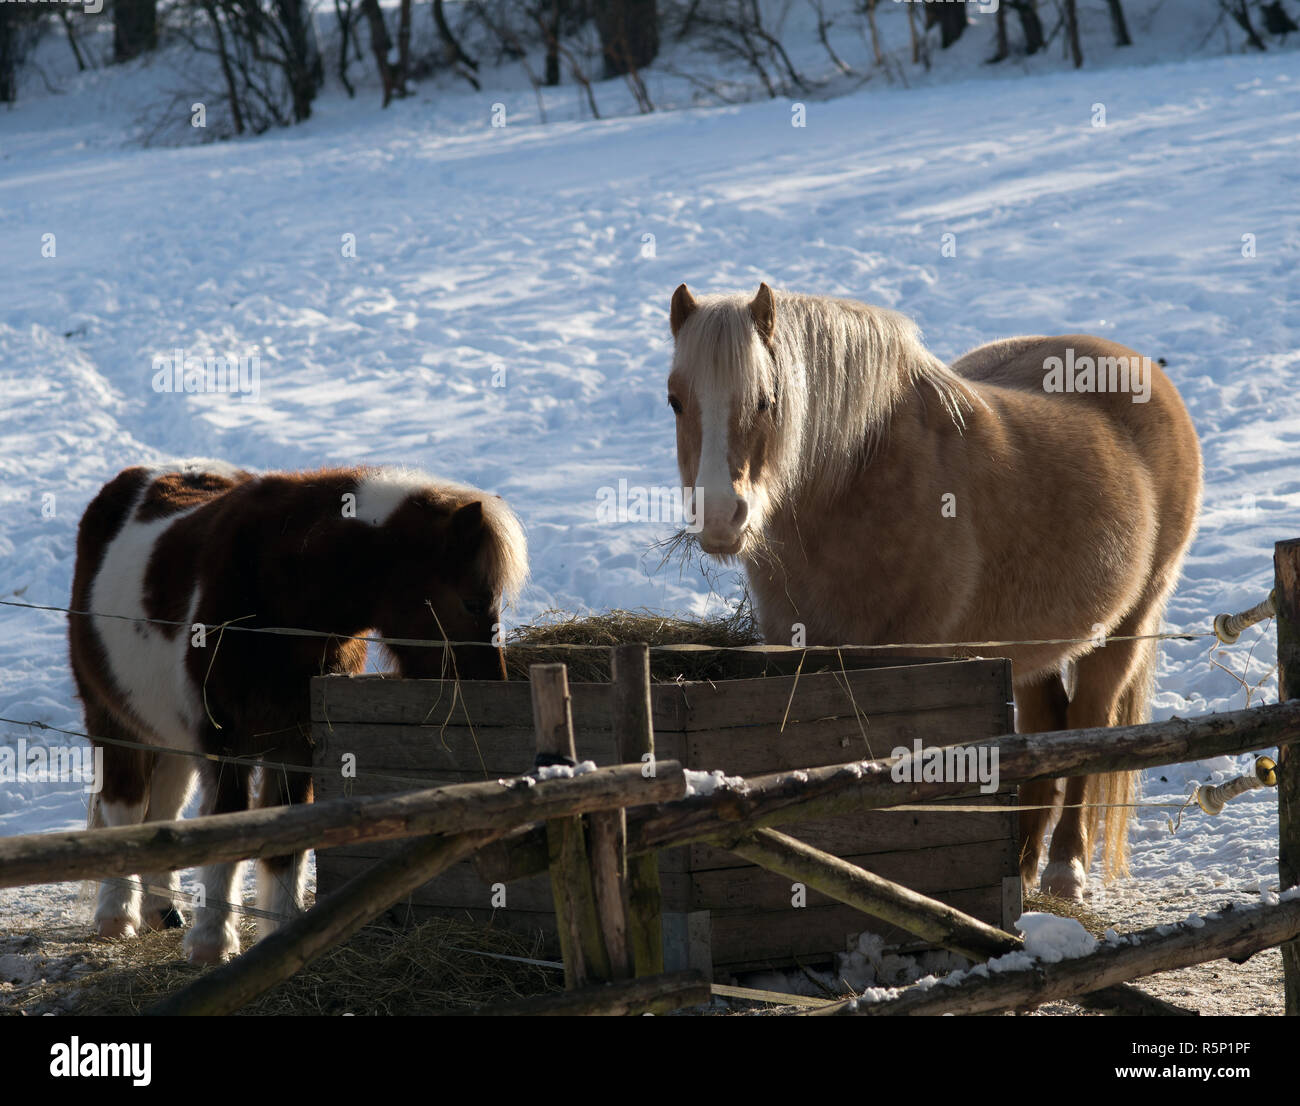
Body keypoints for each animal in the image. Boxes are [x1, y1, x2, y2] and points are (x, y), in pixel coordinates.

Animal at [69, 461, 527, 962]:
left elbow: (287, 841)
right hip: (113, 720)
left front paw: (282, 934)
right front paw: (212, 943)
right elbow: (227, 828)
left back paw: (161, 911)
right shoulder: (225, 745)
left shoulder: (297, 744)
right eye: (471, 601)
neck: (277, 595)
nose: (493, 690)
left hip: (169, 732)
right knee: (125, 807)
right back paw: (117, 916)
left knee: (164, 808)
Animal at [666, 282, 1202, 901]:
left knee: (1091, 725)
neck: (858, 478)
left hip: (1127, 625)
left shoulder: (912, 654)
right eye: (675, 400)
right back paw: (1021, 867)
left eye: (764, 400)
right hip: (1030, 647)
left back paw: (1065, 868)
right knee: (1045, 731)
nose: (719, 518)